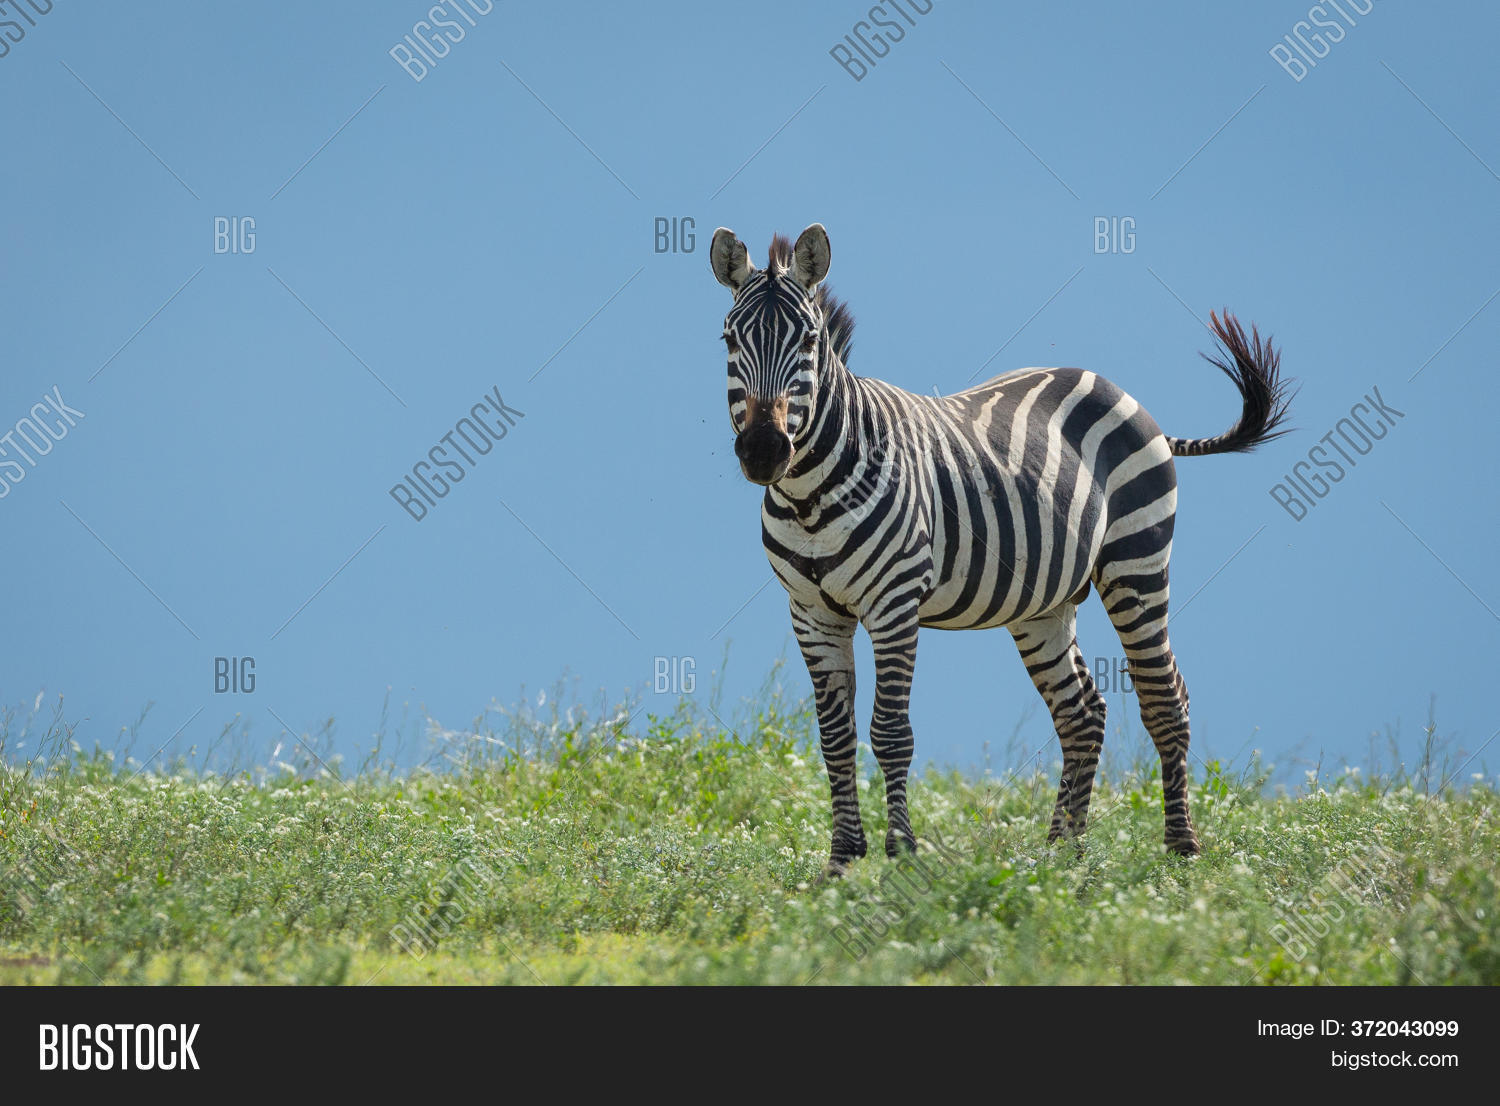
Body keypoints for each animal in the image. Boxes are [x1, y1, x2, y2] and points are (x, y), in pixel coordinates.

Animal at [709, 223, 1292, 878]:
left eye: (809, 340)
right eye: (729, 338)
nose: (763, 451)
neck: (810, 493)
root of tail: (1116, 389)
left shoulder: (894, 603)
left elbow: (890, 731)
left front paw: (902, 857)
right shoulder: (811, 612)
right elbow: (834, 736)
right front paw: (841, 864)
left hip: (1136, 564)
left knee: (1164, 697)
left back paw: (1180, 853)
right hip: (1044, 604)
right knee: (1082, 712)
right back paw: (1063, 856)